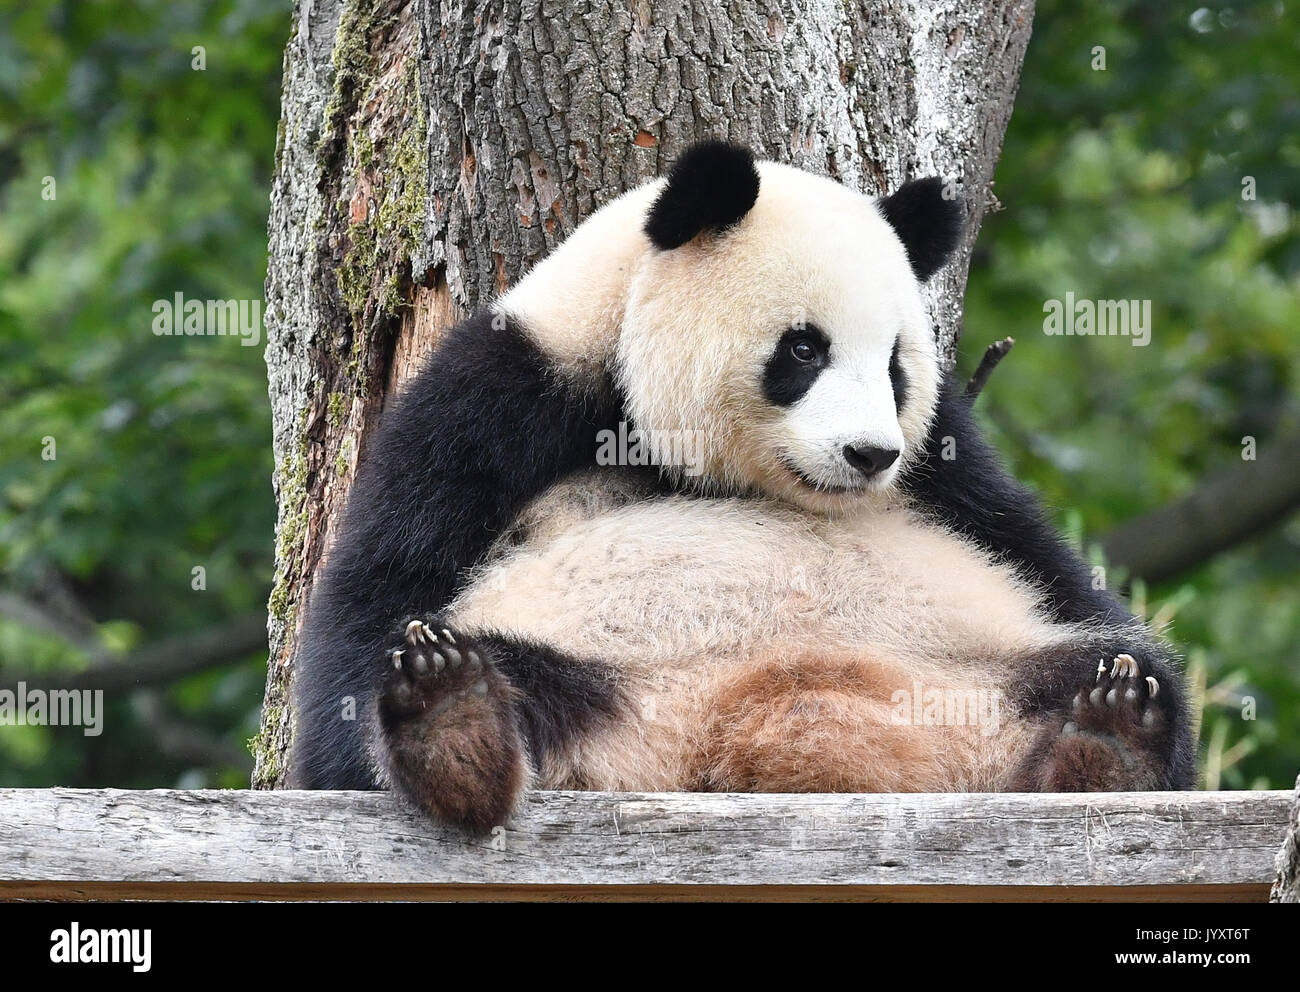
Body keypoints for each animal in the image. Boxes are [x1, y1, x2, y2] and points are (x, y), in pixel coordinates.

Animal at [292, 141, 1196, 832]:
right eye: (803, 349)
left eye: (895, 365)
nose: (870, 455)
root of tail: (753, 733)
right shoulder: (505, 397)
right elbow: (378, 593)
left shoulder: (948, 461)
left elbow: (1047, 565)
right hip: (611, 678)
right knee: (517, 672)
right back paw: (454, 724)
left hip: (965, 678)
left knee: (1107, 666)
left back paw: (1108, 736)